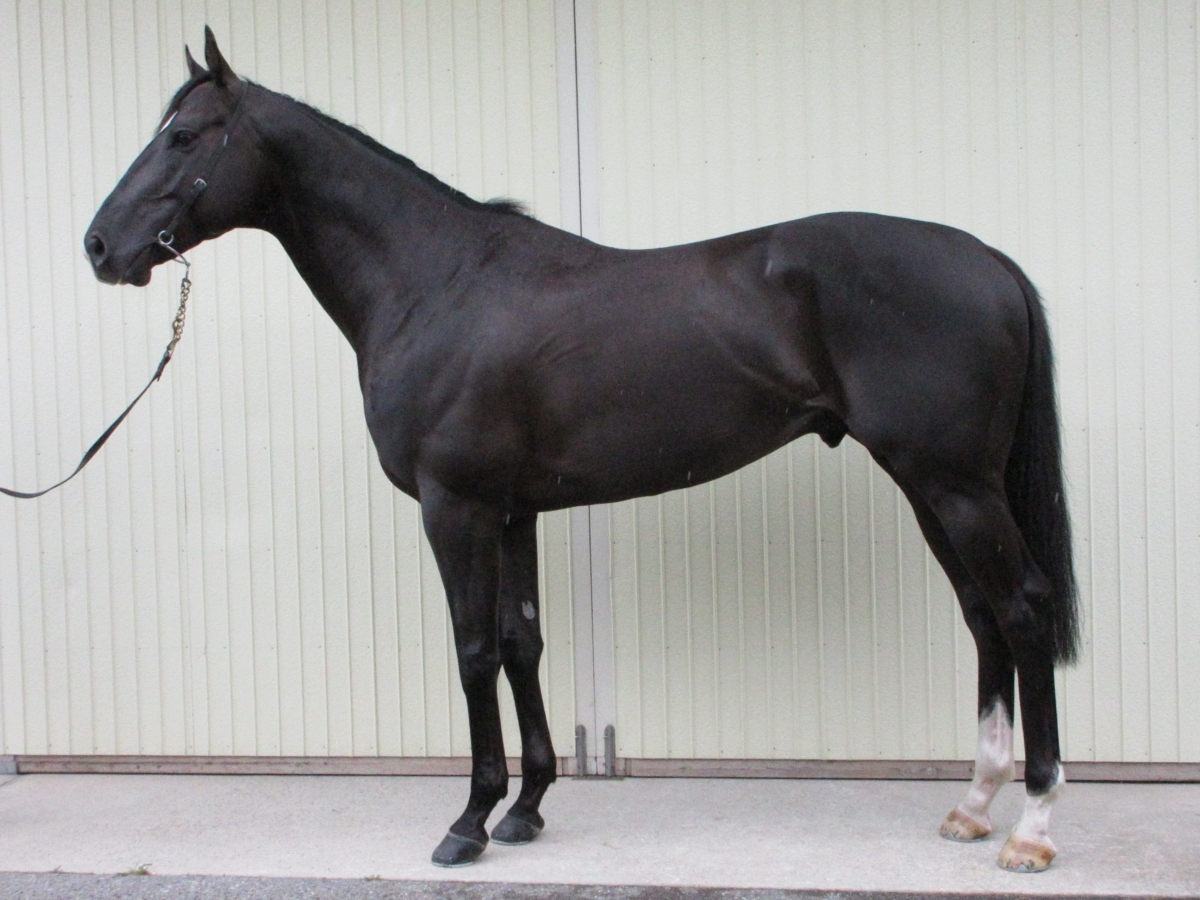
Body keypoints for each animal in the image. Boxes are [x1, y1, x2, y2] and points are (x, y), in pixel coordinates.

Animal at [84, 29, 1079, 872]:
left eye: (184, 136)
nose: (99, 246)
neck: (435, 282)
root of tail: (989, 260)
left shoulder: (456, 507)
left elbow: (473, 651)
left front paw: (468, 822)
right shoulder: (513, 509)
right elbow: (523, 642)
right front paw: (526, 809)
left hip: (954, 486)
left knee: (1022, 610)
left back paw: (1031, 828)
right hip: (931, 485)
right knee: (983, 617)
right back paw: (973, 806)